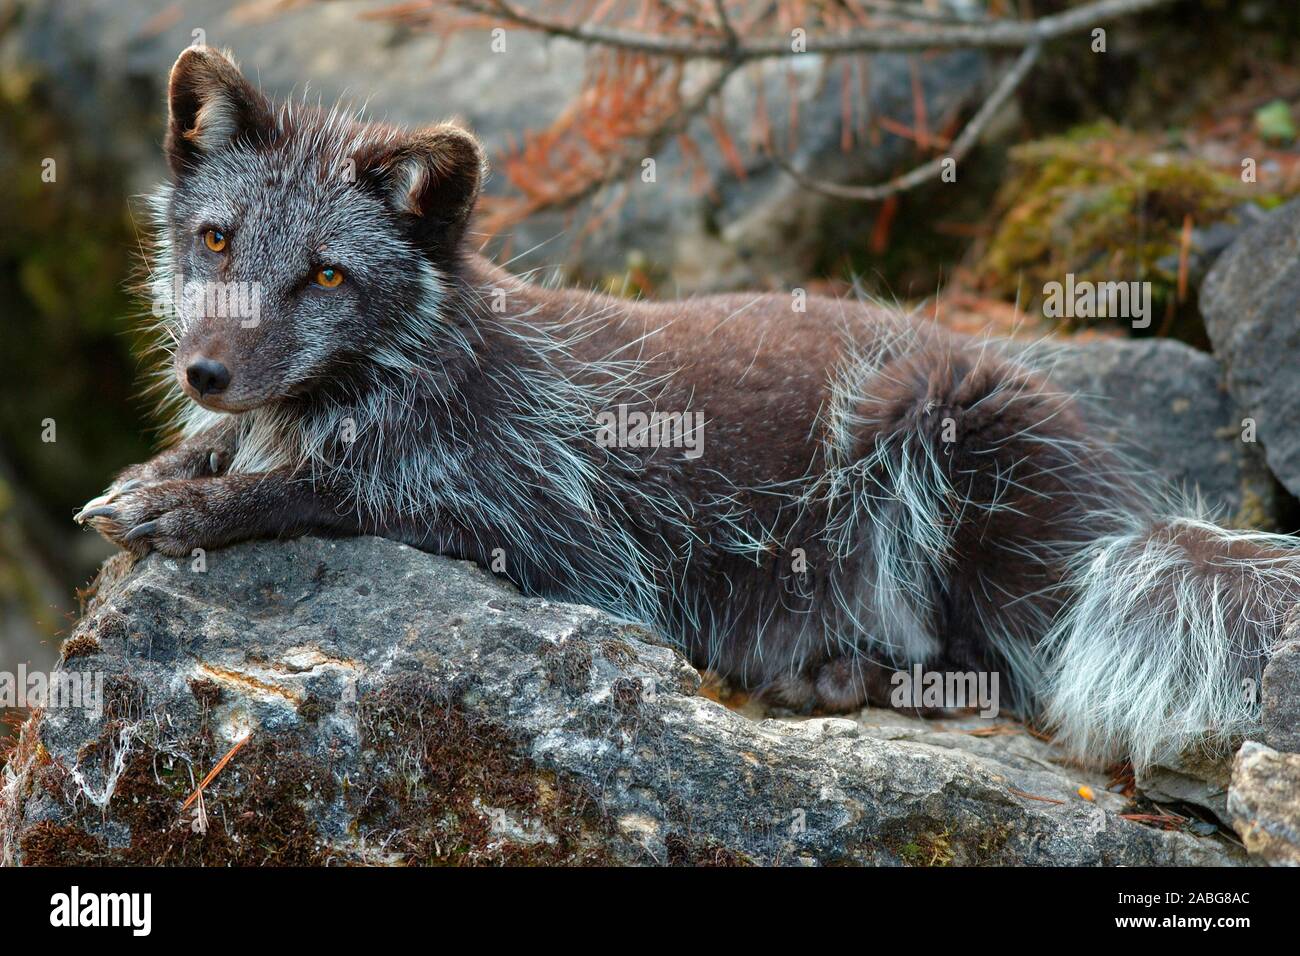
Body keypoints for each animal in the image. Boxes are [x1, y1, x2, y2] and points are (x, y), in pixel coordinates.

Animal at [77, 45, 1300, 769]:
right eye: (216, 240)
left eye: (327, 275)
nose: (206, 371)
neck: (416, 366)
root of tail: (1124, 514)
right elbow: (231, 453)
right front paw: (171, 468)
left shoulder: (533, 523)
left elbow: (323, 491)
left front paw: (202, 506)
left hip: (945, 441)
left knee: (1001, 668)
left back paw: (847, 674)